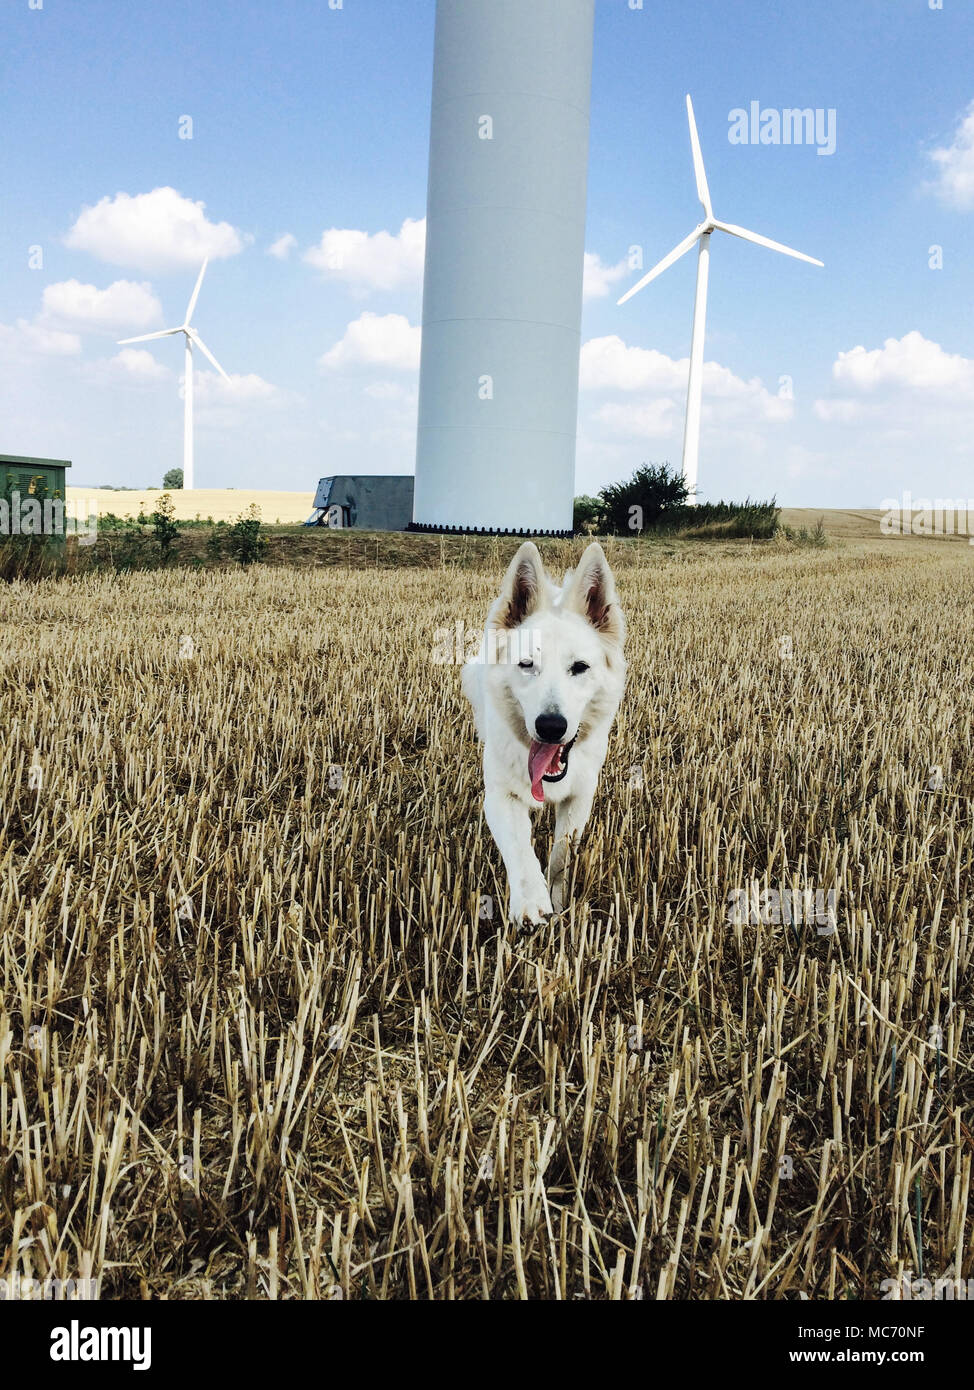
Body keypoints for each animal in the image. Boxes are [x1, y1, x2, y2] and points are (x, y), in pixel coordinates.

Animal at [462, 541, 626, 926]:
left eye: (579, 667)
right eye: (526, 665)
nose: (551, 727)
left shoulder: (580, 796)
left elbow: (562, 853)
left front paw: (559, 899)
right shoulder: (500, 797)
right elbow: (520, 851)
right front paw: (531, 901)